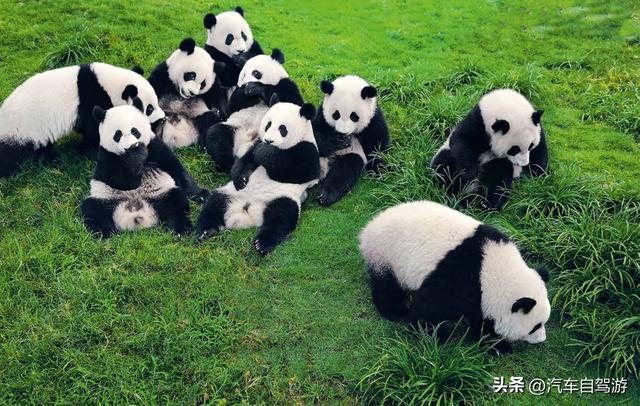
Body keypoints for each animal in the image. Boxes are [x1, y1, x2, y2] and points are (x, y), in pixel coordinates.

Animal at [0, 62, 165, 178]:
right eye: (149, 109)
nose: (162, 119)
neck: (109, 85)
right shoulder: (91, 97)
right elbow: (93, 128)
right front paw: (85, 149)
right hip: (21, 129)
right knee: (11, 153)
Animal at [81, 102, 191, 238]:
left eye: (134, 131)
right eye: (117, 135)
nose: (130, 147)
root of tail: (137, 211)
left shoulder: (153, 144)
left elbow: (173, 166)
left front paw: (200, 194)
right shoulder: (106, 155)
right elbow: (122, 181)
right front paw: (136, 157)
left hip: (160, 193)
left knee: (176, 202)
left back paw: (180, 229)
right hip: (105, 198)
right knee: (93, 210)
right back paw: (105, 233)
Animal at [197, 95, 319, 256]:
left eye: (282, 129)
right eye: (268, 124)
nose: (268, 140)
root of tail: (248, 211)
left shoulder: (308, 150)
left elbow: (298, 171)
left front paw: (265, 153)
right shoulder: (256, 143)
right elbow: (247, 160)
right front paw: (240, 178)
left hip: (281, 198)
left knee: (281, 216)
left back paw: (261, 244)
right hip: (231, 193)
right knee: (215, 203)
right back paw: (206, 230)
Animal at [313, 75, 390, 206]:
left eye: (354, 116)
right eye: (336, 114)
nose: (343, 132)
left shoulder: (373, 119)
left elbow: (377, 145)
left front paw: (379, 171)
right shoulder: (322, 116)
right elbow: (316, 136)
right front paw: (338, 141)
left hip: (349, 156)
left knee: (346, 168)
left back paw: (326, 195)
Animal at [359, 200, 551, 355]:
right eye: (535, 326)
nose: (541, 340)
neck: (493, 270)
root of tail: (369, 228)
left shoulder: (480, 294)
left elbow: (481, 318)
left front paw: (496, 345)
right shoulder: (459, 278)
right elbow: (429, 308)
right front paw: (433, 334)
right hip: (386, 254)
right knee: (387, 287)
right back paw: (397, 311)